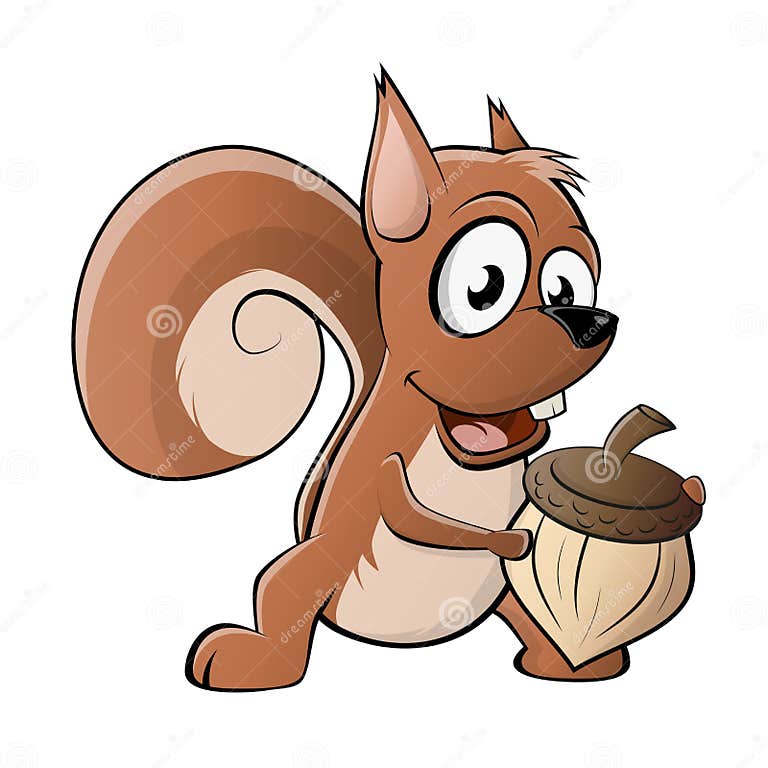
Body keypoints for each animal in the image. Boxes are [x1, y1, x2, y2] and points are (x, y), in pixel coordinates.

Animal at [73, 70, 623, 690]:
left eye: (566, 286)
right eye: (483, 286)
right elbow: (416, 518)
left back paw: (568, 662)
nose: (591, 322)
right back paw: (251, 660)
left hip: (504, 596)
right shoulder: (385, 471)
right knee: (286, 599)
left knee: (526, 615)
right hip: (316, 567)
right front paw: (505, 538)